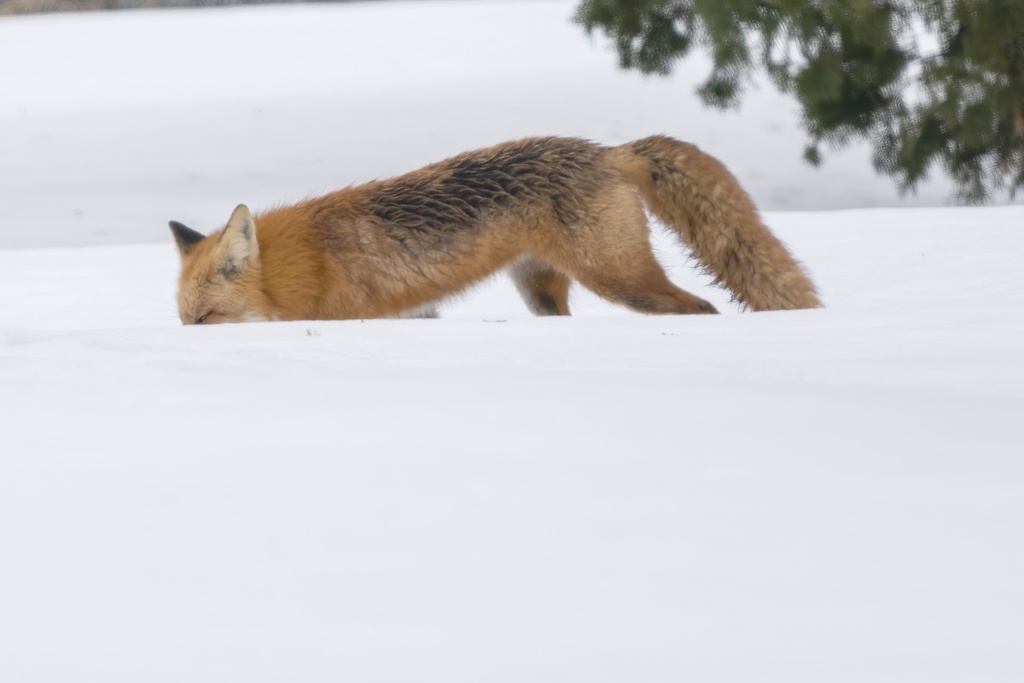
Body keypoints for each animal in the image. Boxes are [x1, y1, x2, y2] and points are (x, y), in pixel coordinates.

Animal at [169, 135, 820, 325]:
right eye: (185, 323)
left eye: (206, 321)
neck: (301, 266)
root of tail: (607, 151)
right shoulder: (414, 314)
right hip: (542, 294)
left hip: (623, 280)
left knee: (701, 309)